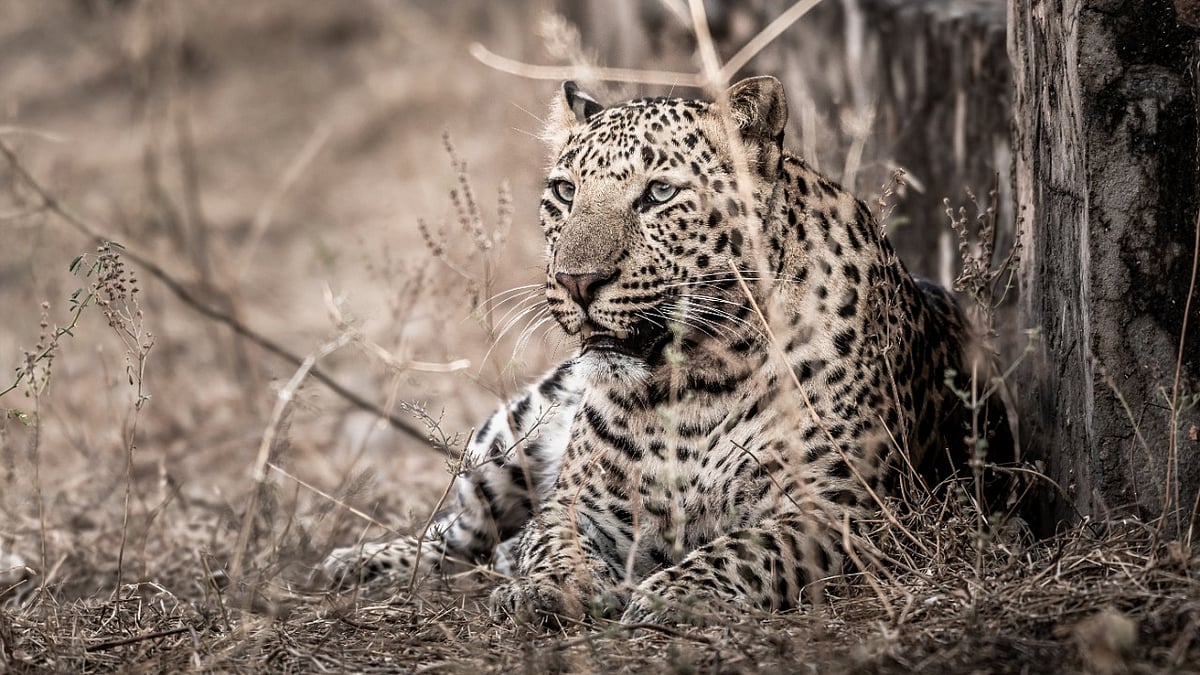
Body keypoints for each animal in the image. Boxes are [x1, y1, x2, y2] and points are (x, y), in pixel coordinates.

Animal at [322, 76, 1008, 626]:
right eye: (565, 192)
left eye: (658, 194)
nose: (577, 280)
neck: (695, 384)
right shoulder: (577, 504)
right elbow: (555, 540)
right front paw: (550, 587)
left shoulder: (839, 514)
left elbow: (749, 550)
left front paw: (672, 594)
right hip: (507, 438)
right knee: (456, 534)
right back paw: (358, 562)